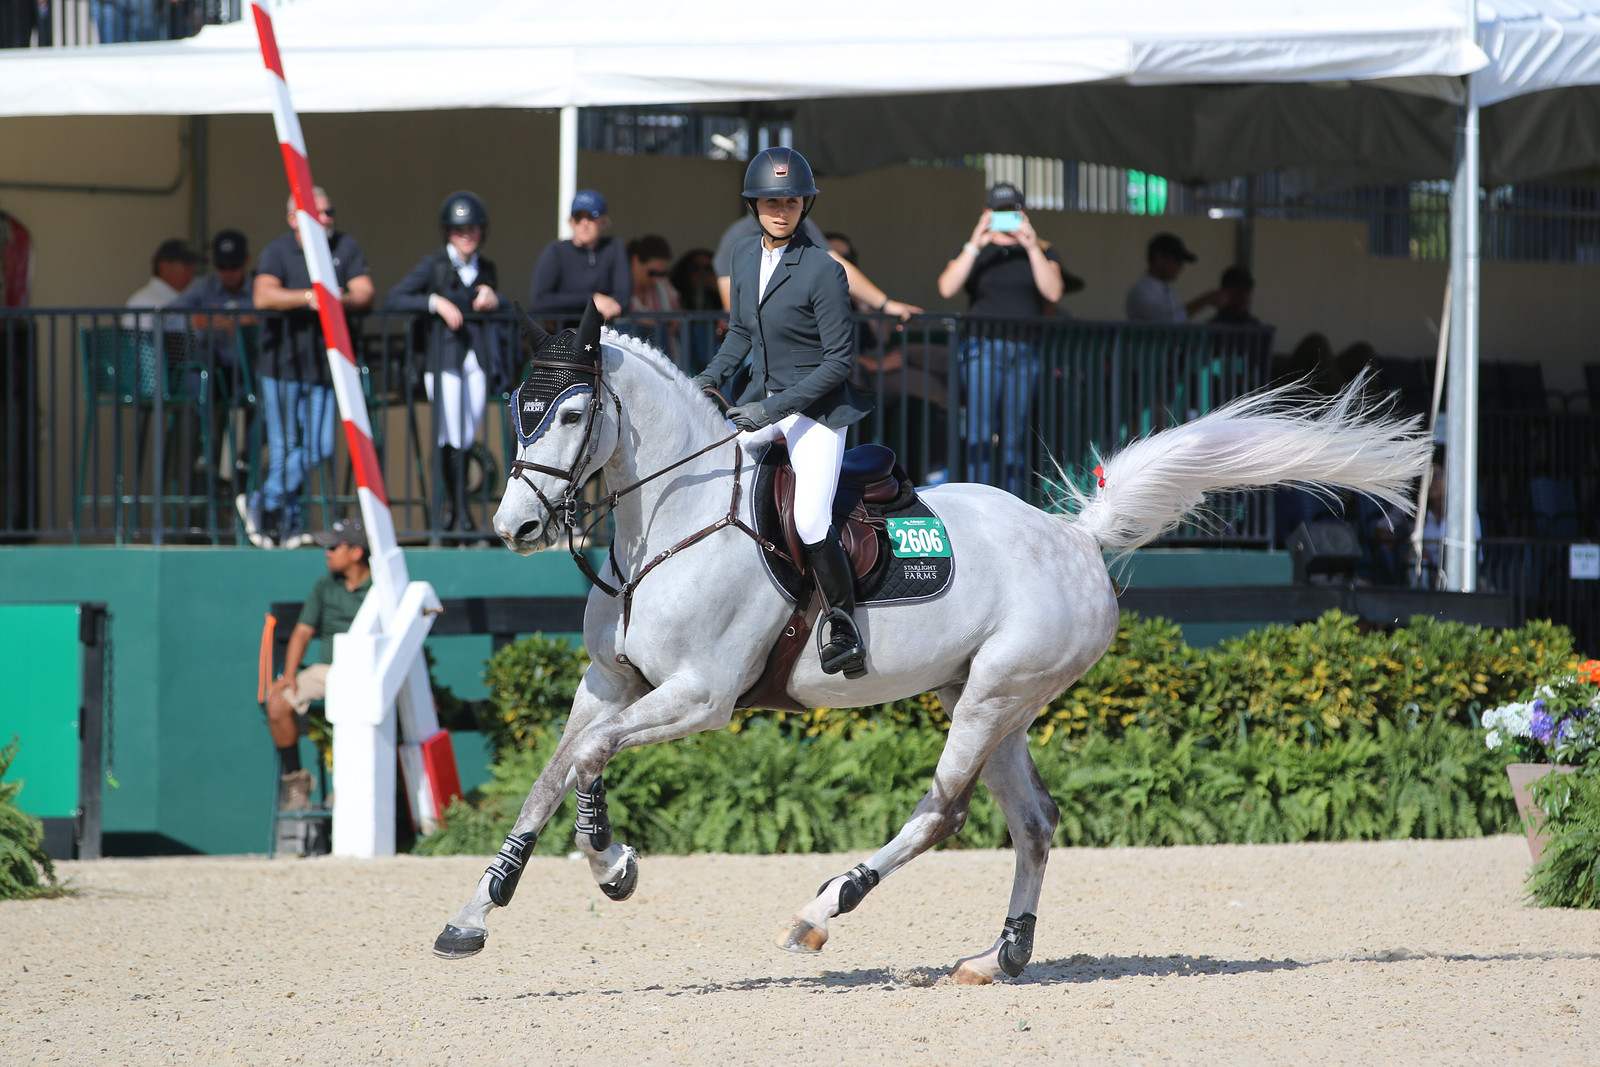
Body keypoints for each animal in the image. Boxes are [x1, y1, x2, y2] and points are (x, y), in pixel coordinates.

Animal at [432, 303, 1430, 984]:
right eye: (517, 406)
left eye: (569, 415)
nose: (515, 525)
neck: (670, 525)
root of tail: (1076, 537)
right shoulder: (610, 680)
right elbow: (556, 771)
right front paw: (487, 911)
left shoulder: (701, 696)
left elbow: (588, 756)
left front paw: (607, 867)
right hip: (993, 699)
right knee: (1035, 822)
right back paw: (999, 958)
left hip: (990, 696)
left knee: (944, 811)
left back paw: (821, 910)